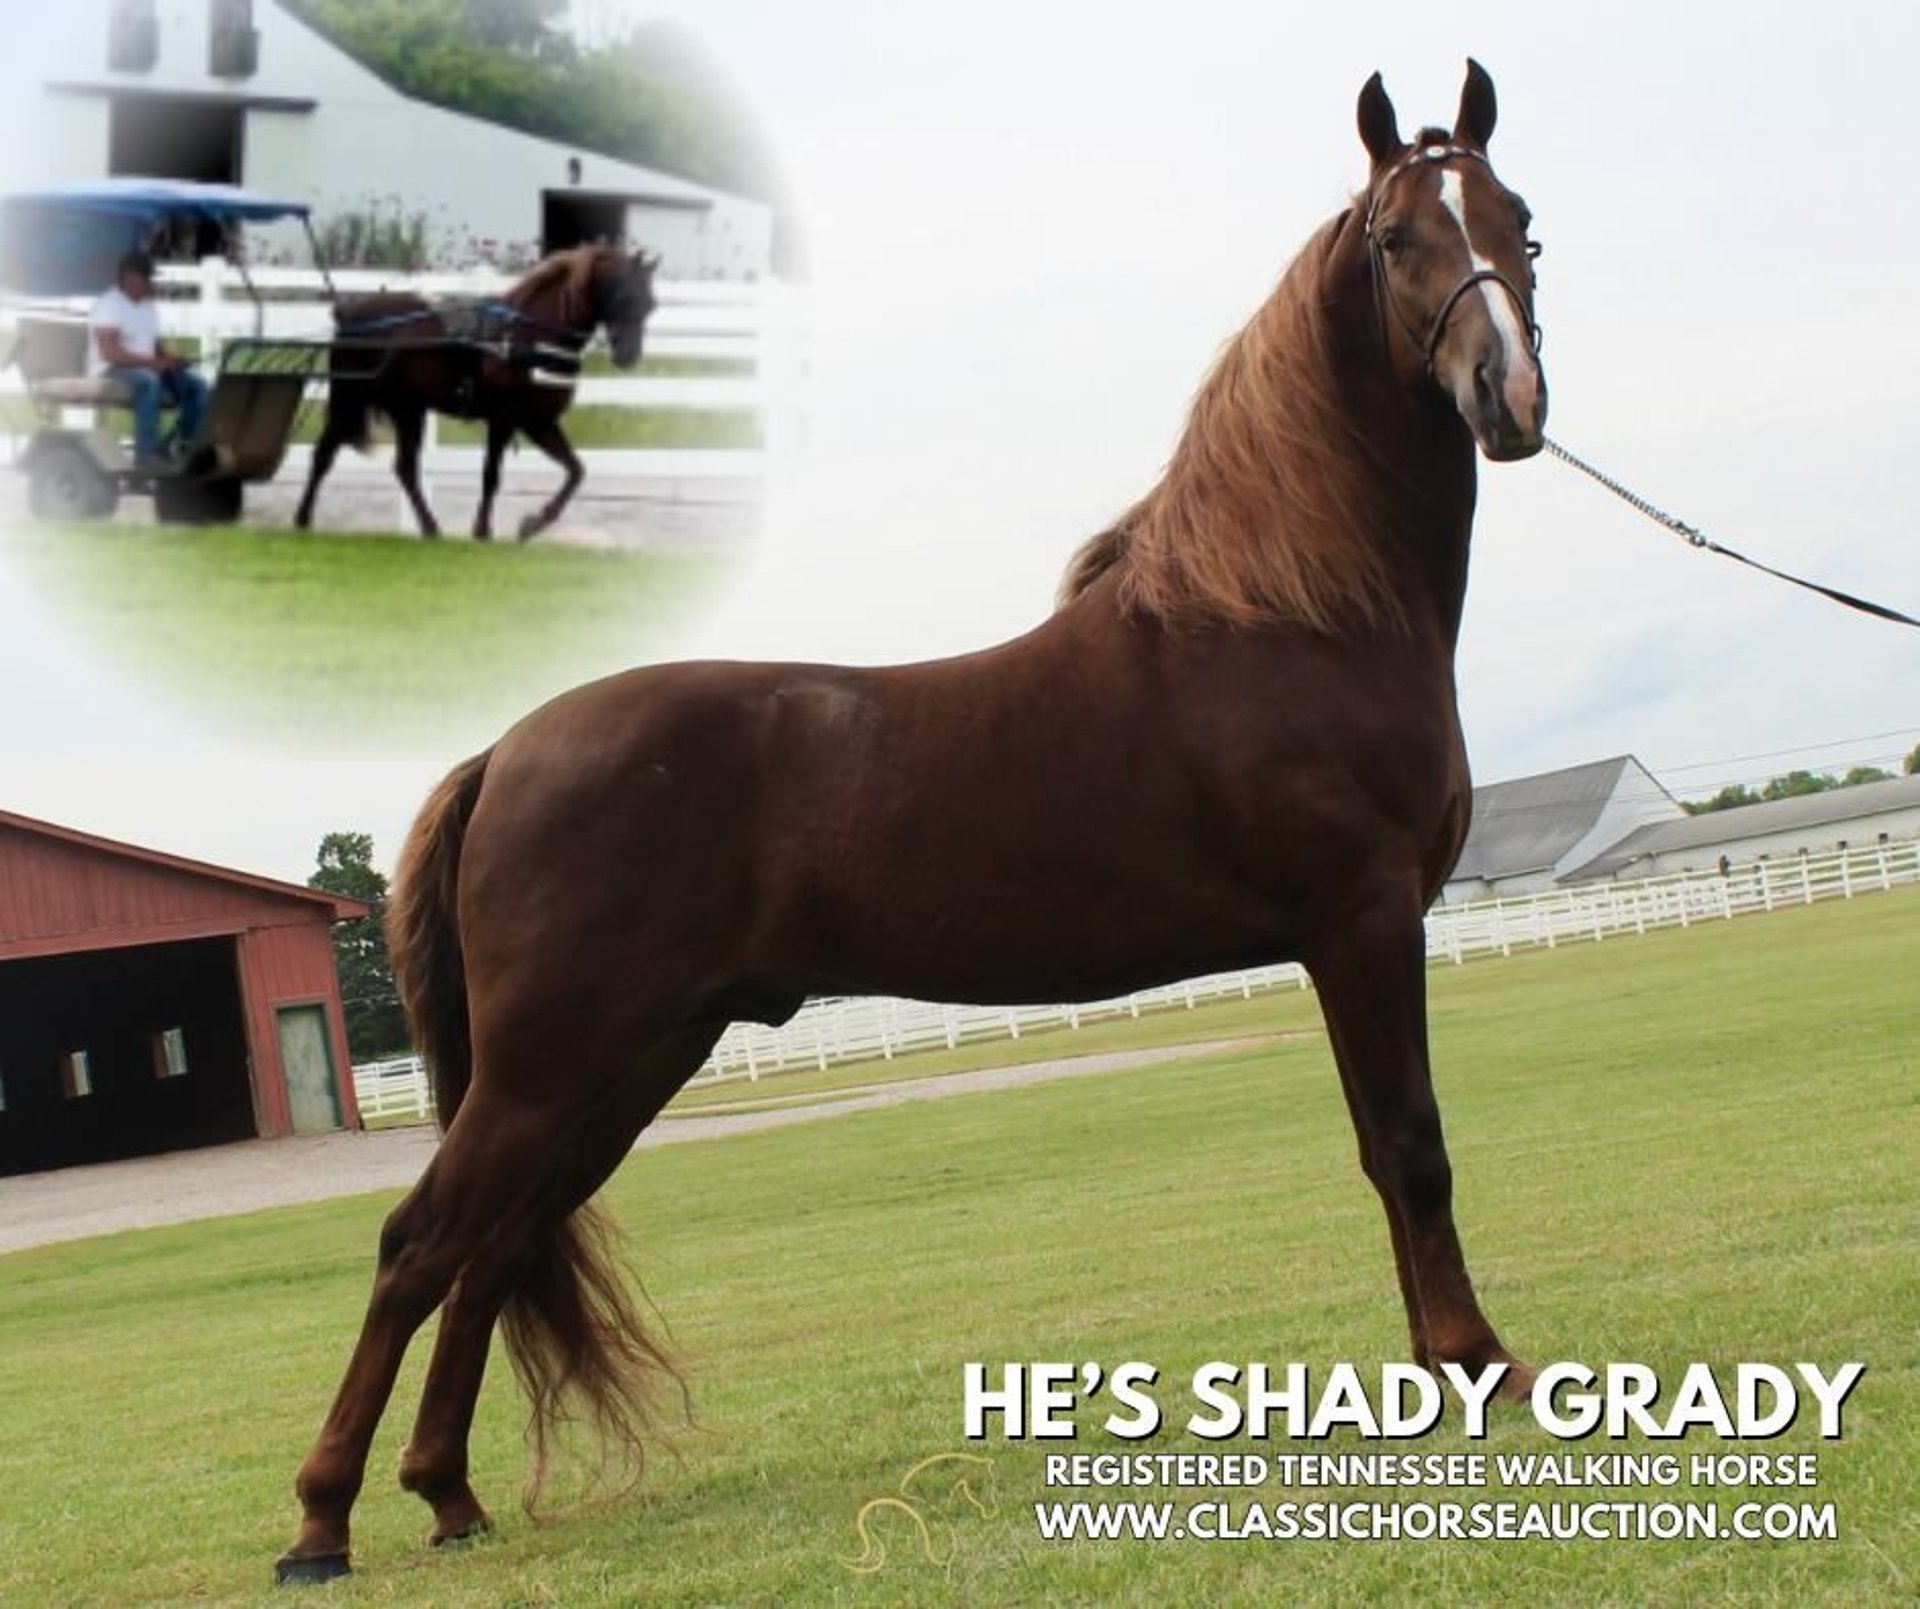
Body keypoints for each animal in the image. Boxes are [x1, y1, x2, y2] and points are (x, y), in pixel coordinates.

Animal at [292, 245, 658, 541]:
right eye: (623, 296)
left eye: (650, 304)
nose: (629, 356)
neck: (526, 336)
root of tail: (348, 311)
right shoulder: (504, 420)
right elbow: (491, 476)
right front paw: (483, 531)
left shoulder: (538, 421)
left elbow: (576, 471)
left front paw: (534, 523)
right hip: (349, 398)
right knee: (323, 456)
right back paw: (302, 518)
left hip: (408, 409)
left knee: (404, 468)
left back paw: (429, 527)